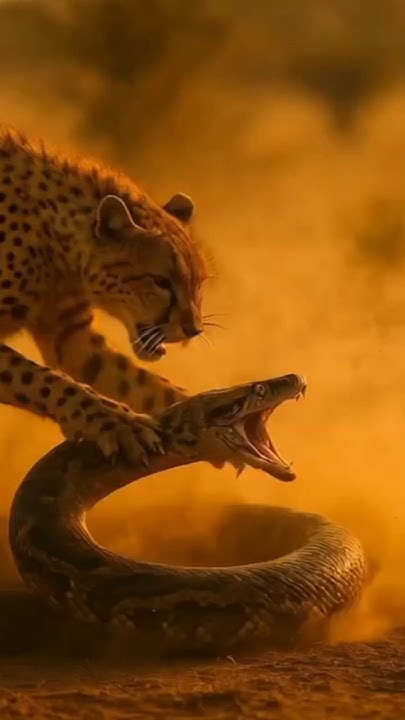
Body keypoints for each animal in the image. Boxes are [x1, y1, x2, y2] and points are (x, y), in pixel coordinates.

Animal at [0, 128, 209, 463]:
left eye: (199, 283)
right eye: (161, 281)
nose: (194, 329)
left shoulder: (72, 337)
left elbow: (134, 380)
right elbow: (46, 381)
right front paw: (116, 422)